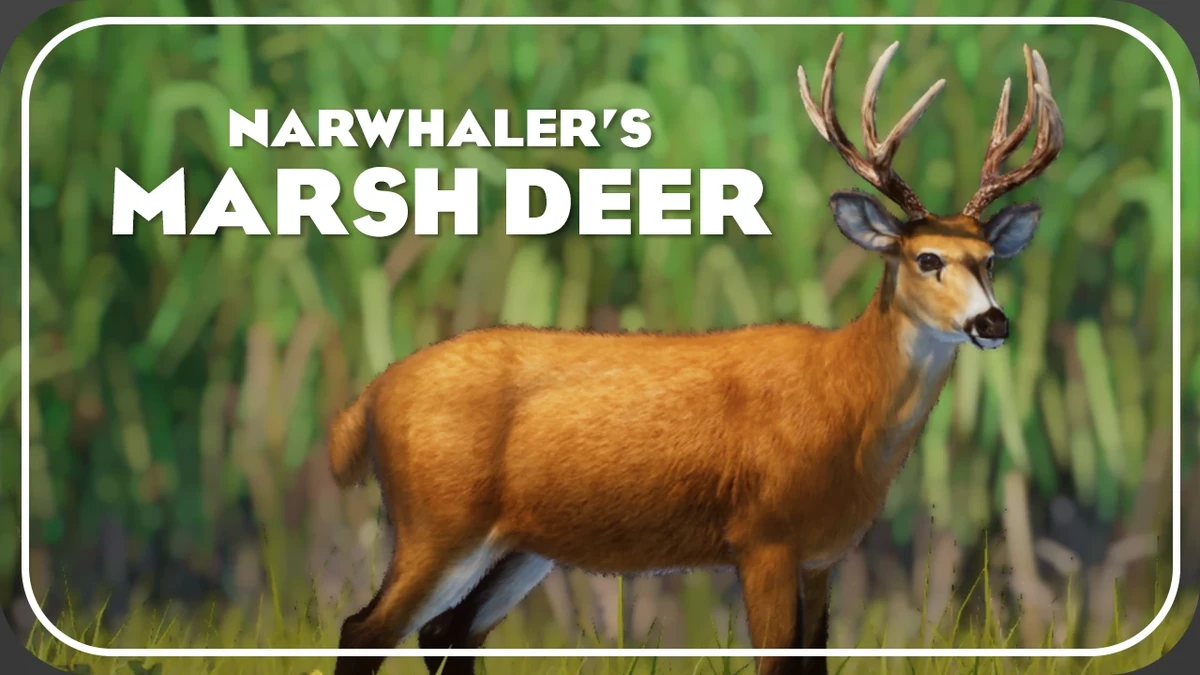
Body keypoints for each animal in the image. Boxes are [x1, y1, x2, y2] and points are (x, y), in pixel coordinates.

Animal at [327, 33, 1064, 675]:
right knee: (365, 630)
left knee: (447, 633)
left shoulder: (822, 556)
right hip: (438, 519)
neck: (846, 401)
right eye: (926, 258)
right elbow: (774, 664)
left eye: (990, 259)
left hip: (519, 544)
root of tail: (370, 395)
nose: (993, 321)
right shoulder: (762, 535)